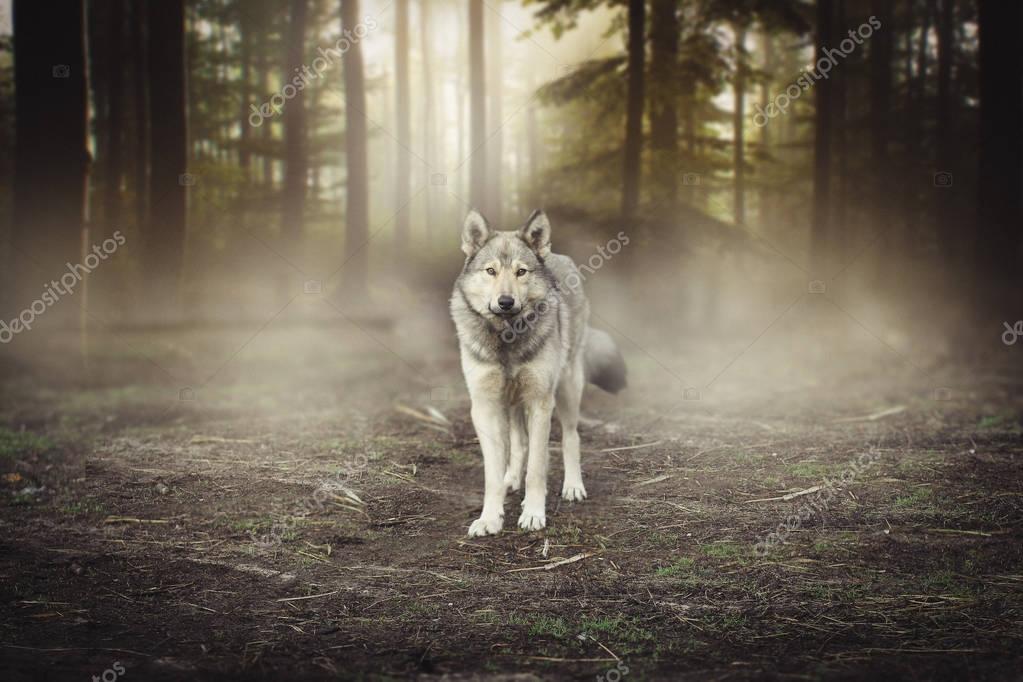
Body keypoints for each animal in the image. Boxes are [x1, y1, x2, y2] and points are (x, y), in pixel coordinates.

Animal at [450, 209, 626, 536]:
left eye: (521, 272)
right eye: (491, 271)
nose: (506, 302)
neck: (507, 337)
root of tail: (557, 254)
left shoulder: (540, 403)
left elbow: (537, 468)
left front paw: (532, 514)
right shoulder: (484, 407)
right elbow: (492, 474)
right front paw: (490, 517)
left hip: (567, 388)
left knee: (571, 437)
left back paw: (573, 486)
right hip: (512, 402)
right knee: (518, 444)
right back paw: (511, 479)